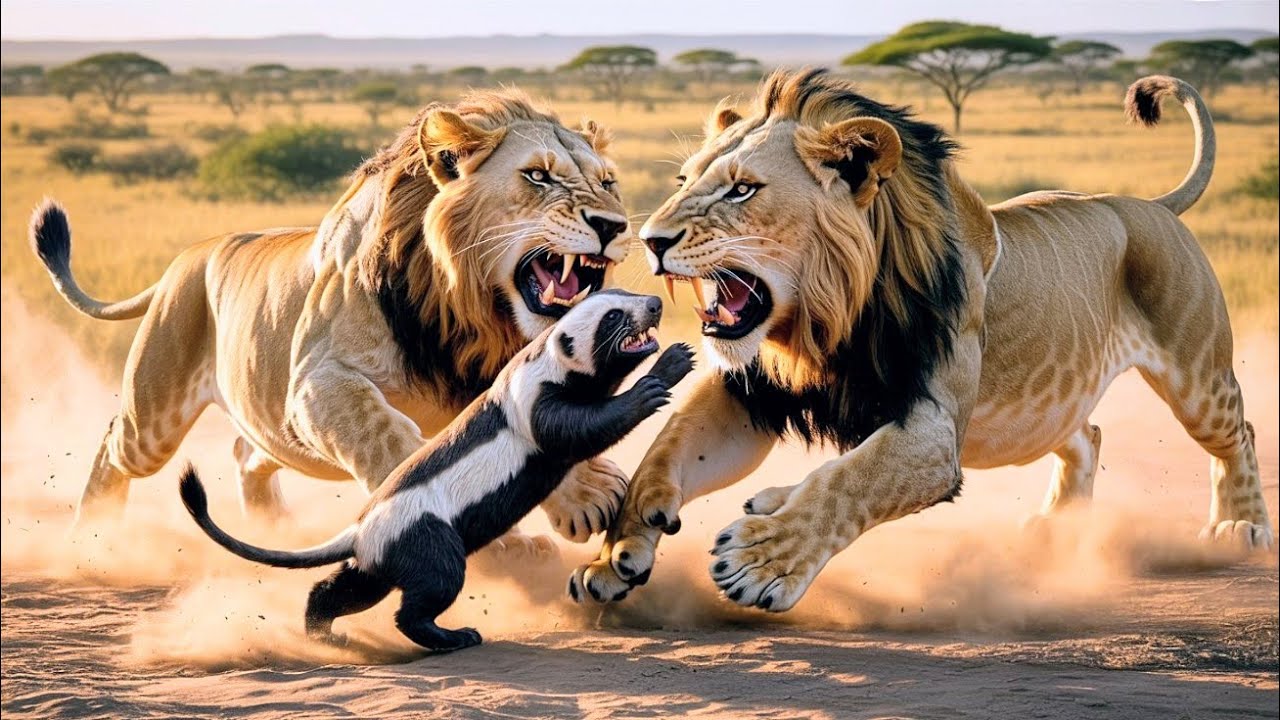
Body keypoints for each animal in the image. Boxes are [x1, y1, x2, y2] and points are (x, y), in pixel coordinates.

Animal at [31, 88, 635, 547]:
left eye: (608, 182)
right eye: (537, 177)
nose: (613, 225)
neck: (467, 317)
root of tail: (187, 256)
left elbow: (540, 417)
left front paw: (588, 494)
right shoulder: (318, 384)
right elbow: (390, 440)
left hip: (275, 426)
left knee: (247, 453)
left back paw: (272, 527)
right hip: (157, 414)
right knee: (116, 442)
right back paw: (92, 536)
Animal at [568, 69, 1273, 610]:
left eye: (743, 189)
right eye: (684, 182)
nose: (649, 239)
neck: (823, 323)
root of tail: (1149, 205)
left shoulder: (933, 431)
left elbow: (851, 480)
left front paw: (763, 560)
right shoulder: (753, 392)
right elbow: (667, 451)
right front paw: (617, 550)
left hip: (1197, 377)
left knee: (1237, 432)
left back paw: (1240, 525)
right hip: (1041, 412)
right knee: (1088, 434)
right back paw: (1056, 528)